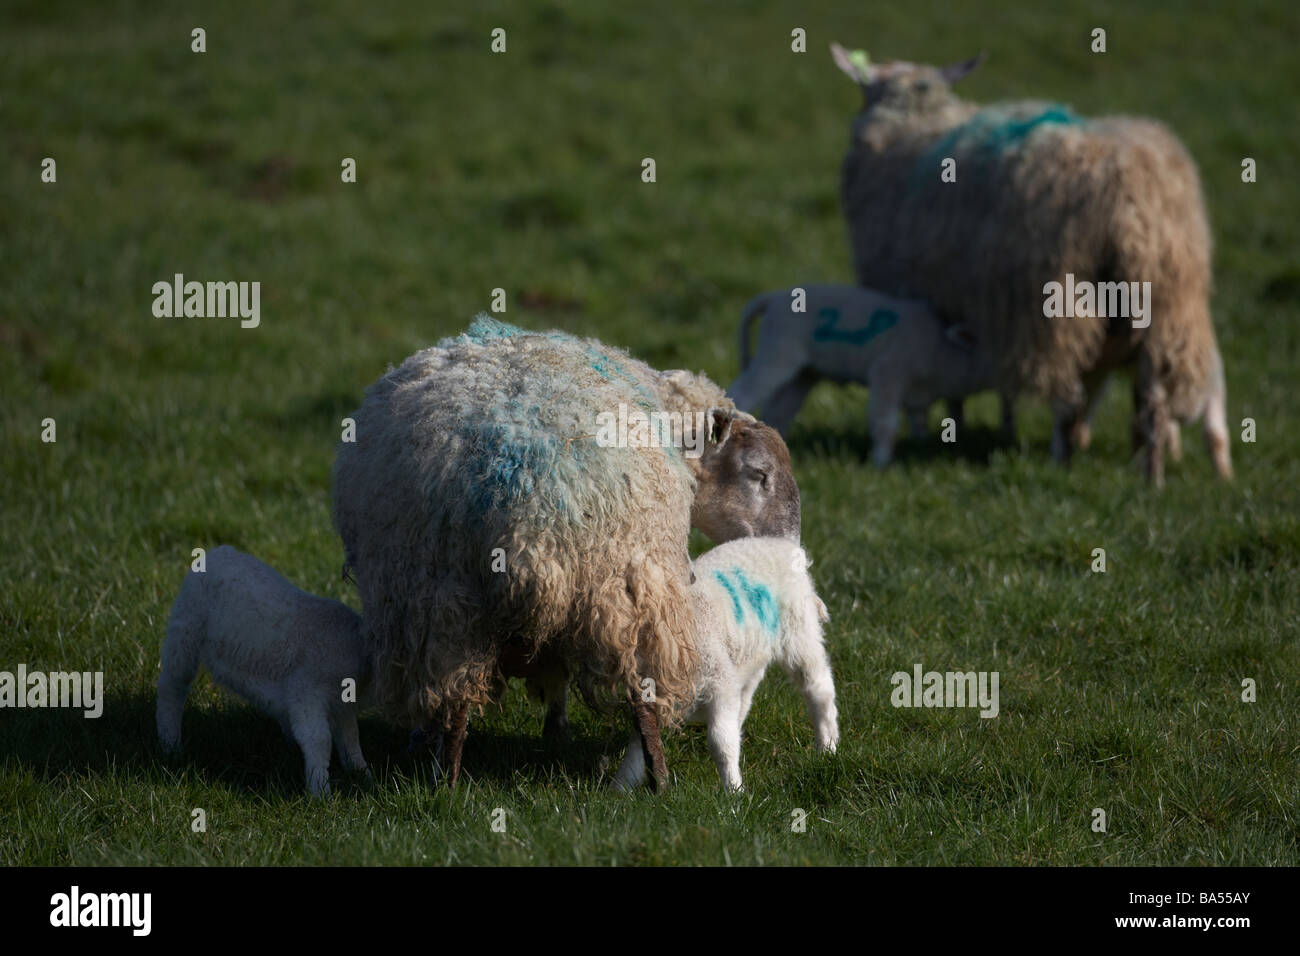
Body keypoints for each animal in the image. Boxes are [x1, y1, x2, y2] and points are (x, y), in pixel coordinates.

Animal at [156, 545, 371, 796]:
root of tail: (220, 550)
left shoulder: (341, 705)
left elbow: (350, 736)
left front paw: (361, 772)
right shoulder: (306, 691)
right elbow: (319, 739)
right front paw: (320, 790)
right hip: (186, 627)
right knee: (172, 688)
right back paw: (169, 744)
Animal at [331, 316, 802, 791]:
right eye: (758, 473)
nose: (790, 547)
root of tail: (524, 504)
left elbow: (551, 664)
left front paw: (552, 728)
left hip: (435, 597)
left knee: (456, 697)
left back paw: (447, 779)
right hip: (628, 587)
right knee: (644, 695)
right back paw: (659, 780)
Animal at [612, 536, 838, 792]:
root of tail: (780, 544)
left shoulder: (719, 685)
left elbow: (720, 741)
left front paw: (734, 790)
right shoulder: (652, 699)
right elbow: (639, 743)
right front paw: (619, 788)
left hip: (799, 630)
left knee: (820, 689)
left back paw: (827, 747)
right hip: (748, 655)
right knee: (747, 696)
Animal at [728, 283, 1014, 465]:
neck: (944, 352)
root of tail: (773, 297)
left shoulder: (917, 392)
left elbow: (918, 419)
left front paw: (920, 443)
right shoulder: (888, 372)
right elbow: (885, 420)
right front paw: (881, 461)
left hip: (804, 373)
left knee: (780, 411)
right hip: (778, 353)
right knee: (742, 392)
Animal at [831, 45, 1232, 486]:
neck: (914, 120)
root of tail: (1127, 202)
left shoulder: (928, 300)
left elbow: (943, 388)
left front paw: (940, 430)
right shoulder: (983, 311)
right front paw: (997, 426)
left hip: (1053, 306)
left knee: (1068, 395)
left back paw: (1064, 457)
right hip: (1165, 303)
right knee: (1153, 398)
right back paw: (1153, 476)